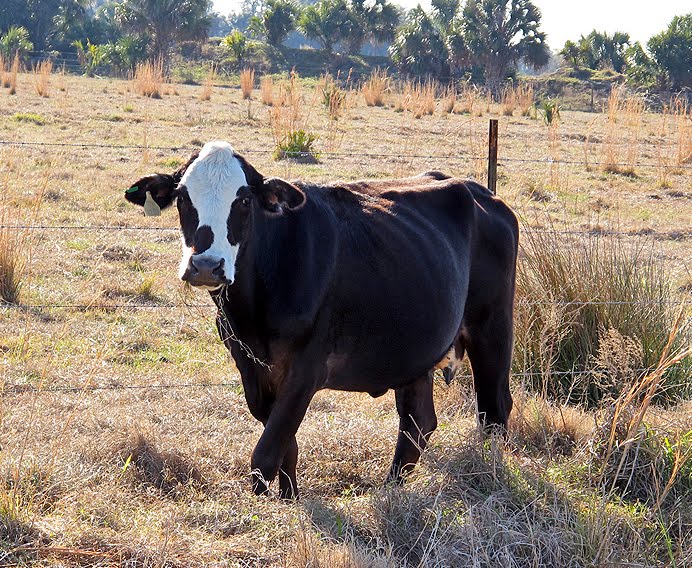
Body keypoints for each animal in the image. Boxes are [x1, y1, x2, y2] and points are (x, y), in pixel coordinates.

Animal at [124, 141, 518, 499]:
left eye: (244, 200)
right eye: (182, 197)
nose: (206, 265)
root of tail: (481, 192)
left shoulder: (307, 367)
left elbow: (265, 454)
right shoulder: (249, 364)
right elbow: (284, 444)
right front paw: (289, 498)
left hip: (492, 330)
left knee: (494, 411)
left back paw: (490, 478)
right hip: (416, 349)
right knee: (418, 423)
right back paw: (391, 491)